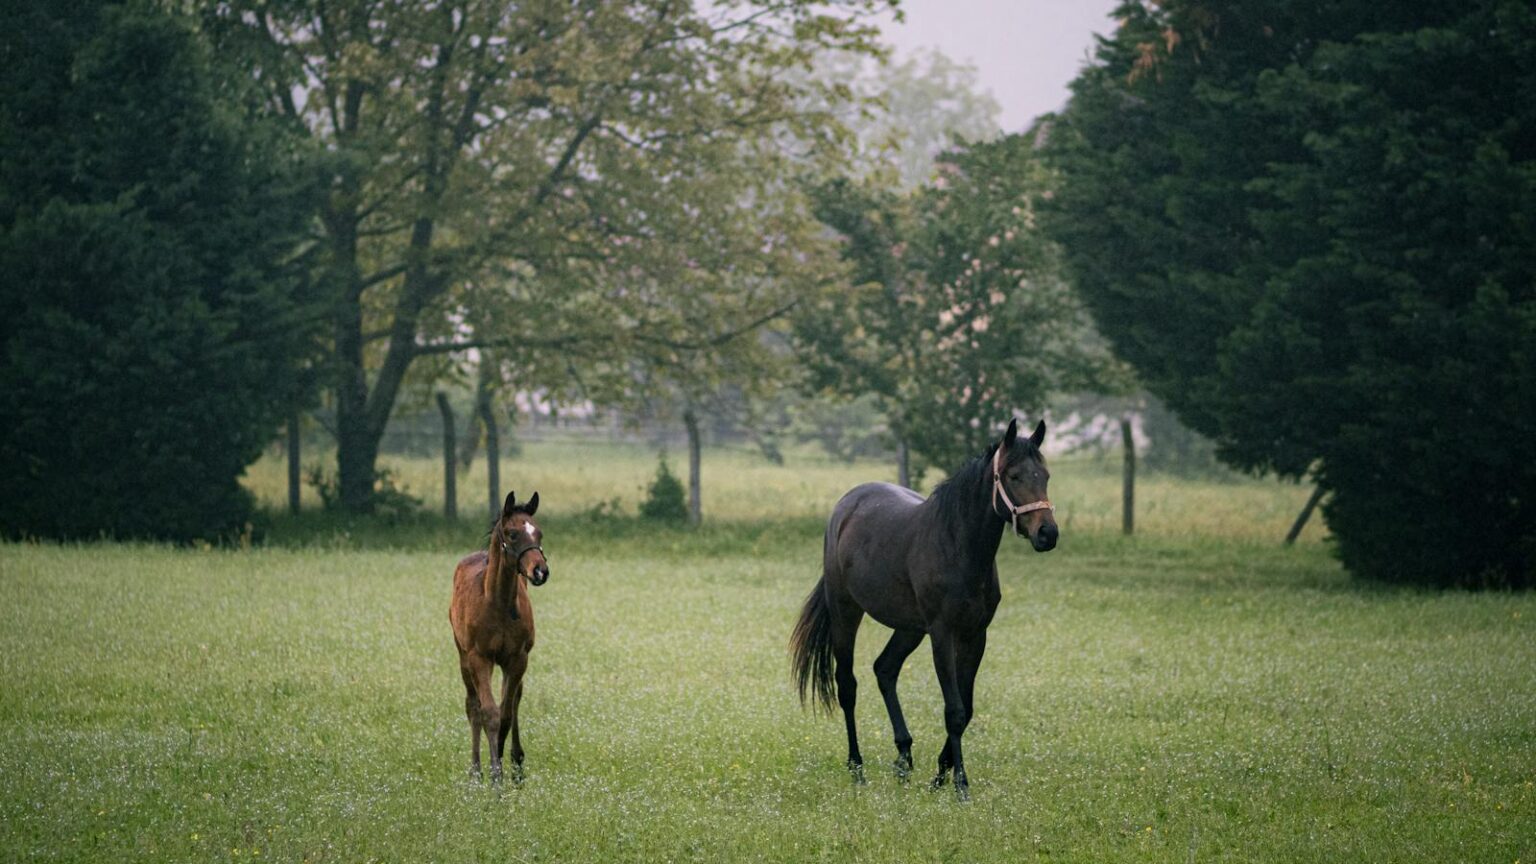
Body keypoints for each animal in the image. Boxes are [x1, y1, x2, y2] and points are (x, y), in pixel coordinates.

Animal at [449, 490, 550, 783]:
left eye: (538, 533)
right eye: (512, 533)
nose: (540, 571)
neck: (498, 603)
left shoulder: (517, 659)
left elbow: (506, 712)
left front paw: (506, 763)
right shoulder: (479, 658)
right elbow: (489, 713)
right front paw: (495, 775)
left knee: (513, 701)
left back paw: (515, 762)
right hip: (463, 657)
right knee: (473, 705)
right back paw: (475, 772)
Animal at [790, 418, 1058, 801]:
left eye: (1045, 475)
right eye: (1014, 476)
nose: (1047, 534)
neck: (958, 546)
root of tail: (846, 506)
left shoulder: (976, 636)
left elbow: (967, 707)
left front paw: (940, 775)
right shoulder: (942, 634)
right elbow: (955, 709)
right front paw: (960, 784)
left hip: (909, 627)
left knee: (885, 669)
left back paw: (903, 758)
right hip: (846, 613)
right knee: (847, 685)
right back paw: (857, 768)